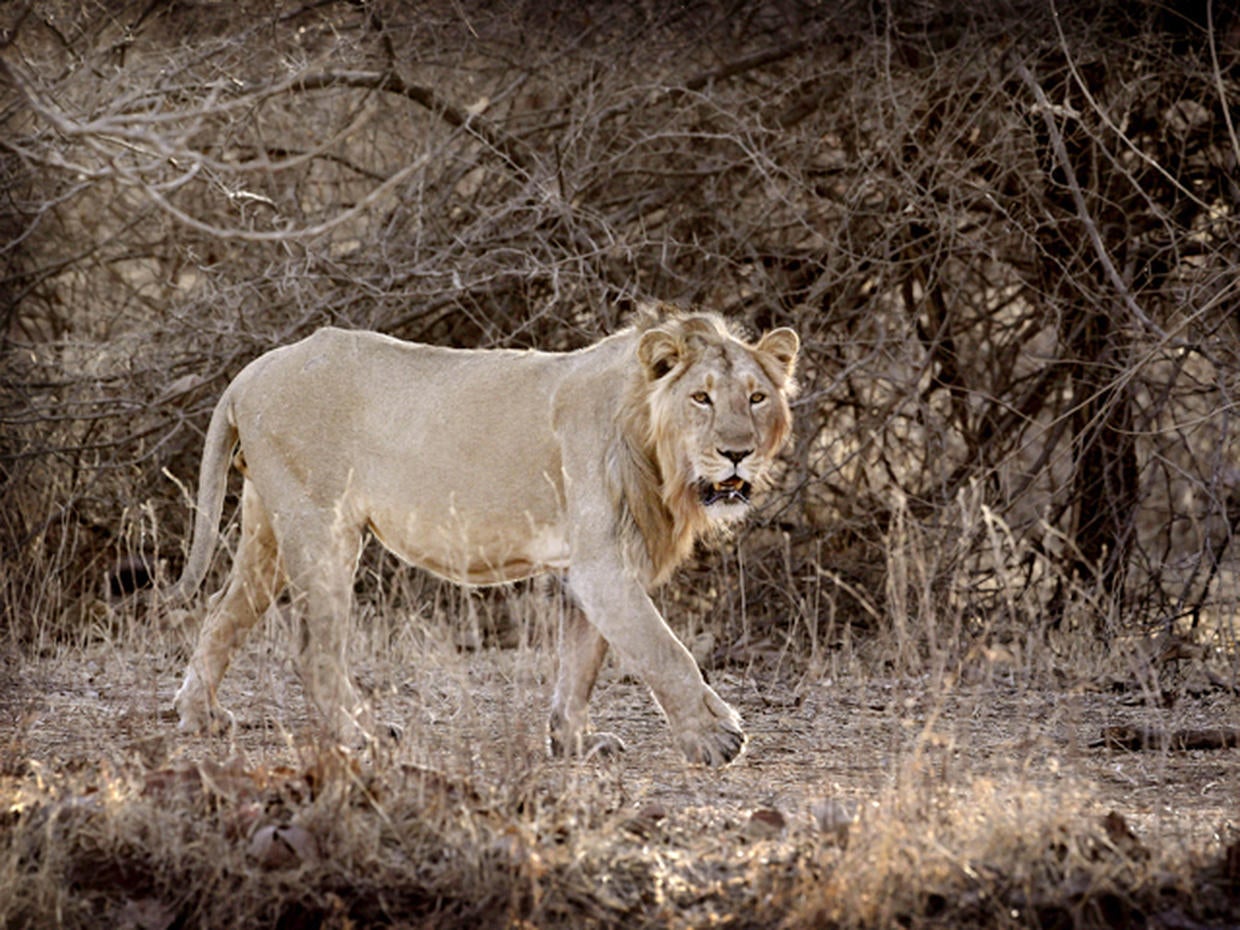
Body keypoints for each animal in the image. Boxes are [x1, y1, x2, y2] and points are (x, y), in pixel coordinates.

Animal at [170, 304, 798, 766]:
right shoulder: (603, 566)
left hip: (268, 530)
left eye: (756, 397)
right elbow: (665, 651)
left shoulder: (587, 567)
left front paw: (573, 741)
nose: (737, 453)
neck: (652, 443)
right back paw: (358, 734)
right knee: (312, 646)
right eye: (701, 397)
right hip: (320, 525)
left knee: (222, 611)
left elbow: (582, 660)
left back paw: (201, 715)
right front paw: (715, 738)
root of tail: (254, 370)